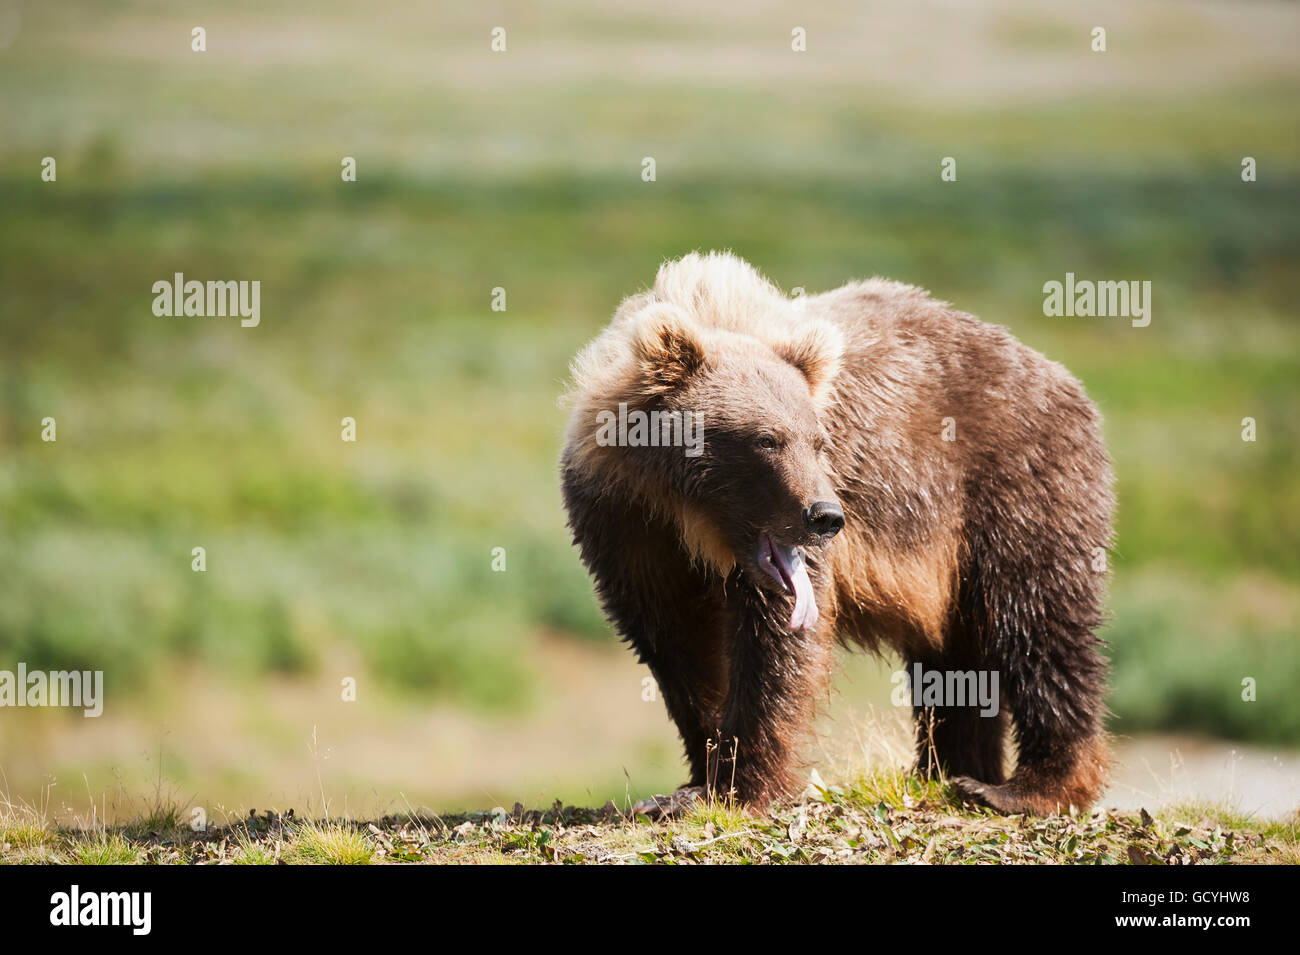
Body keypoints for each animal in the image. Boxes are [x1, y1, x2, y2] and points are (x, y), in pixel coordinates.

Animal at [560, 251, 1114, 816]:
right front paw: (694, 778)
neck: (693, 517)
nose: (825, 515)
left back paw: (1026, 786)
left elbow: (777, 642)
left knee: (1038, 619)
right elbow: (675, 644)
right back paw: (948, 770)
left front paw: (740, 785)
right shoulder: (625, 523)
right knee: (956, 660)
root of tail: (1065, 381)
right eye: (767, 439)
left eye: (818, 440)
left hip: (1009, 487)